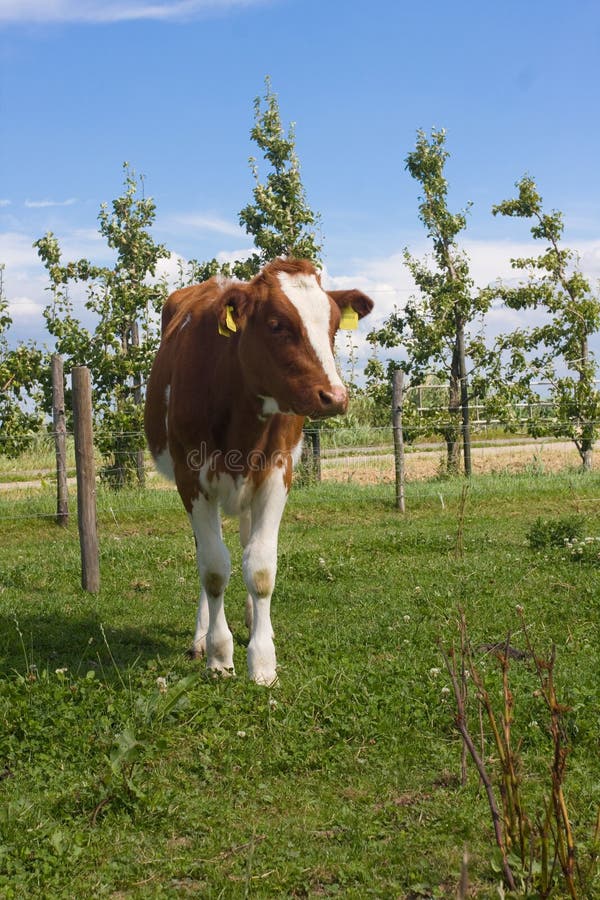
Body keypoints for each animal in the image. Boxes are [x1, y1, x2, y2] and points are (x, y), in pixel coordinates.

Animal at [144, 257, 373, 685]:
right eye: (277, 324)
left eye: (334, 325)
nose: (335, 397)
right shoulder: (191, 478)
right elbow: (214, 569)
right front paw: (219, 655)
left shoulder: (277, 472)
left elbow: (262, 568)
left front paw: (263, 659)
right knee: (206, 554)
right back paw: (201, 637)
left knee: (248, 544)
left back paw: (253, 622)